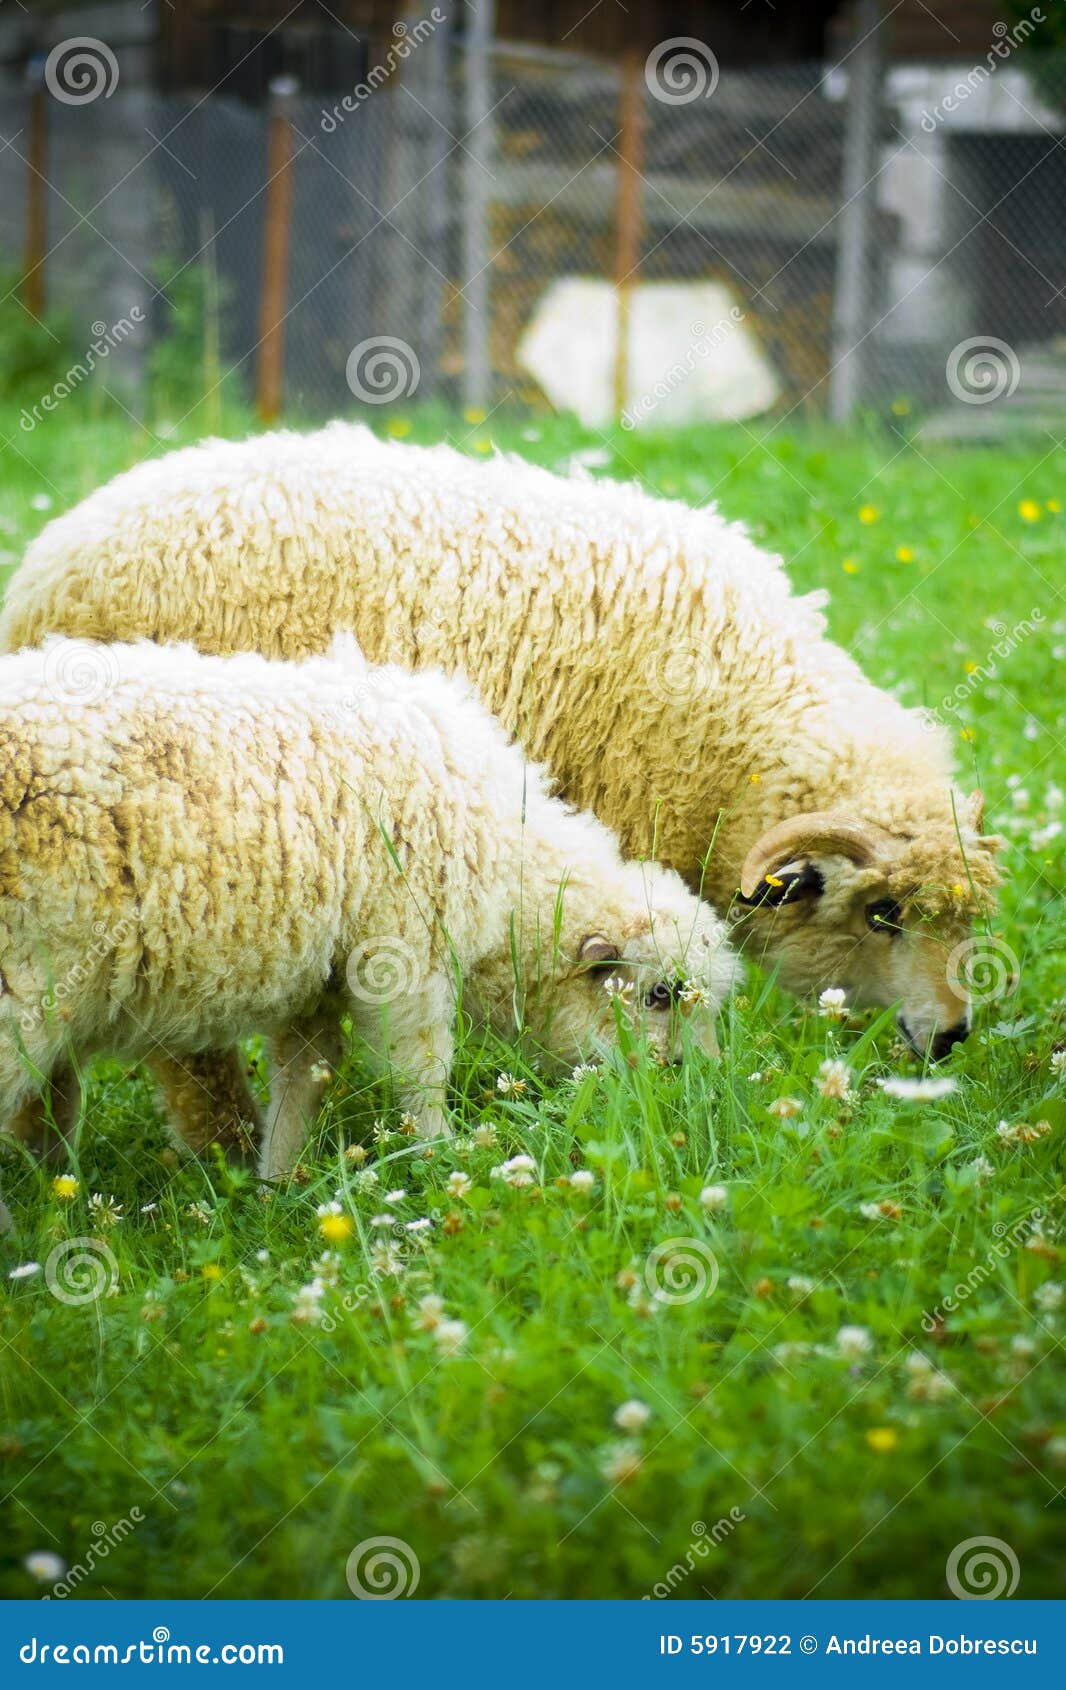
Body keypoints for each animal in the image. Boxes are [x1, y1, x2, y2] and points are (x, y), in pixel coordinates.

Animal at [0, 636, 737, 1226]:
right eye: (660, 995)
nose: (694, 1086)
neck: (509, 870)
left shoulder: (318, 976)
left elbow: (304, 1076)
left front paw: (277, 1184)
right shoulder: (408, 951)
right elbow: (422, 1068)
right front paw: (444, 1158)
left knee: (50, 1098)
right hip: (22, 986)